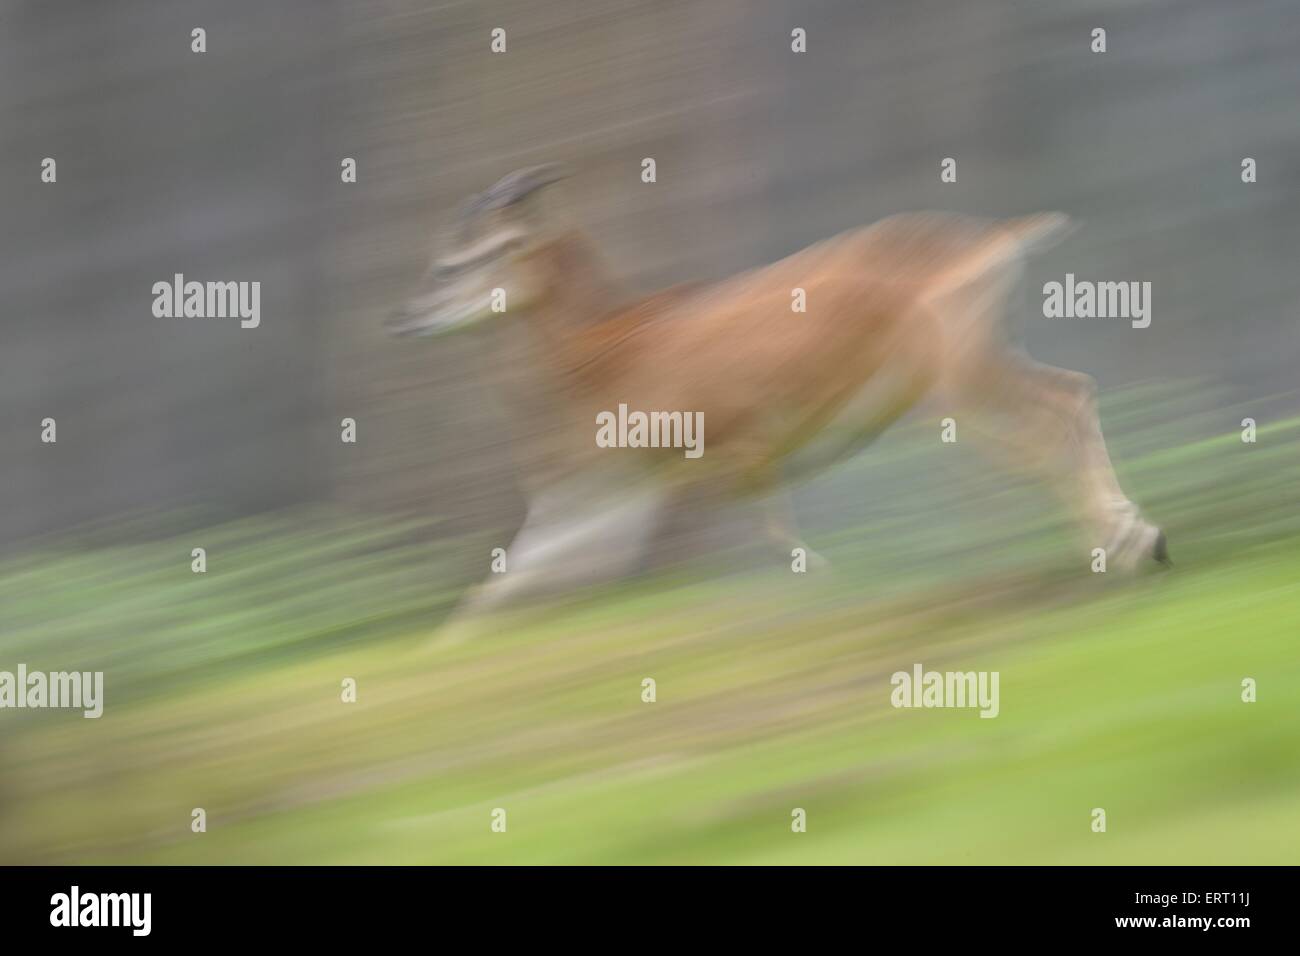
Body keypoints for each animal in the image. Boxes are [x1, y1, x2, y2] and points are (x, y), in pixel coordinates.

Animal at [388, 165, 1168, 642]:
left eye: (468, 259)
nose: (409, 319)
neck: (607, 355)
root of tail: (1000, 241)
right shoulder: (613, 498)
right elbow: (502, 585)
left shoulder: (734, 452)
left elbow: (776, 536)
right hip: (983, 364)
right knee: (1072, 394)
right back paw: (1135, 543)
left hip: (959, 380)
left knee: (1049, 423)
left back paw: (1127, 548)